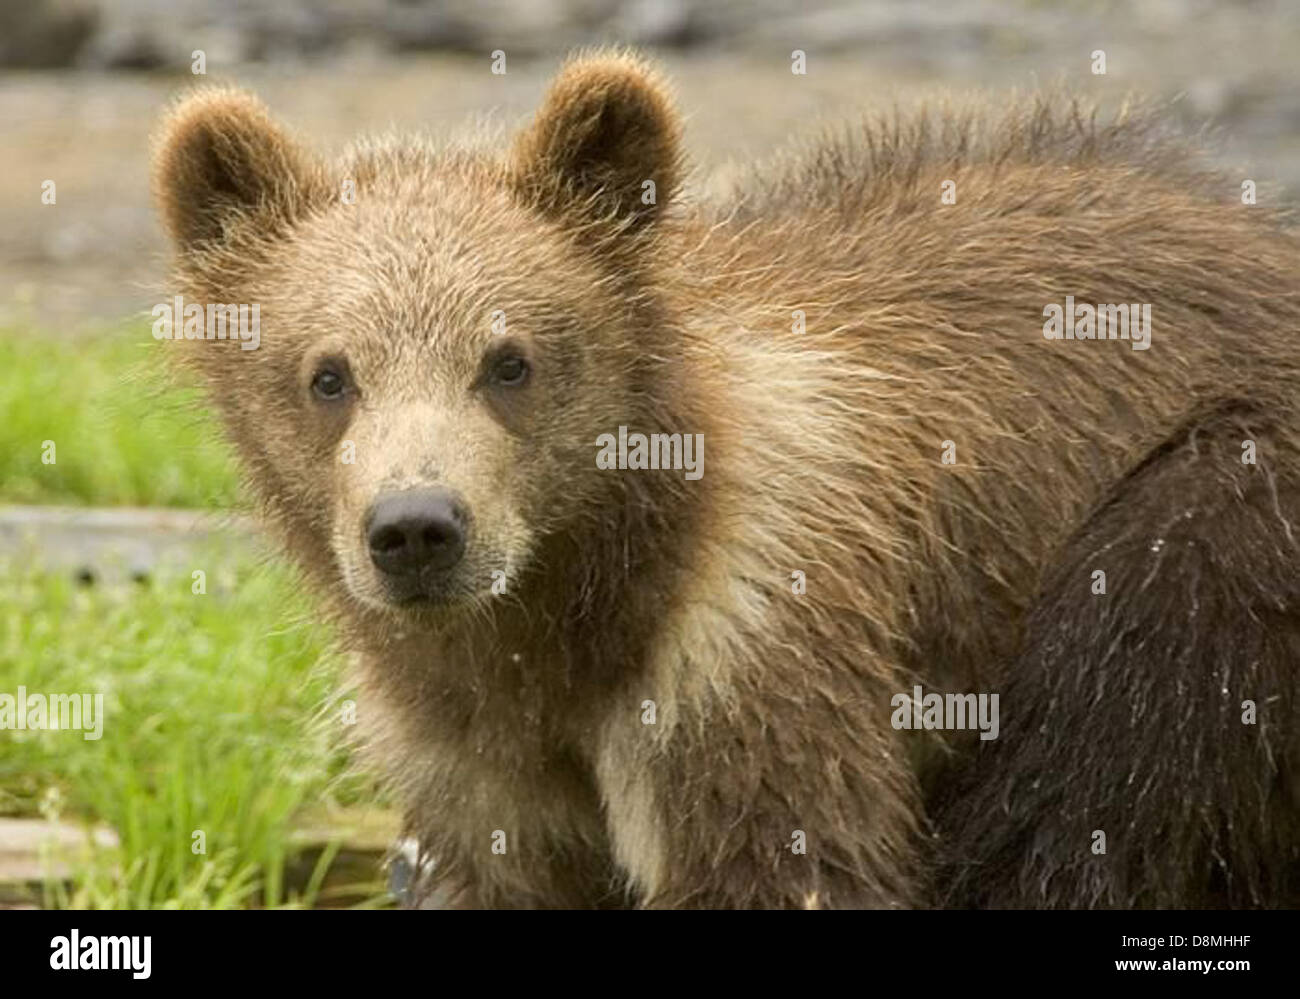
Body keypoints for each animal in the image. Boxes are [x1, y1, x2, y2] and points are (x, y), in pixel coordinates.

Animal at [152, 50, 1300, 908]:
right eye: (329, 373)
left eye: (509, 360)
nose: (418, 528)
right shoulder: (467, 747)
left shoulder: (746, 652)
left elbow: (787, 858)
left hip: (1216, 520)